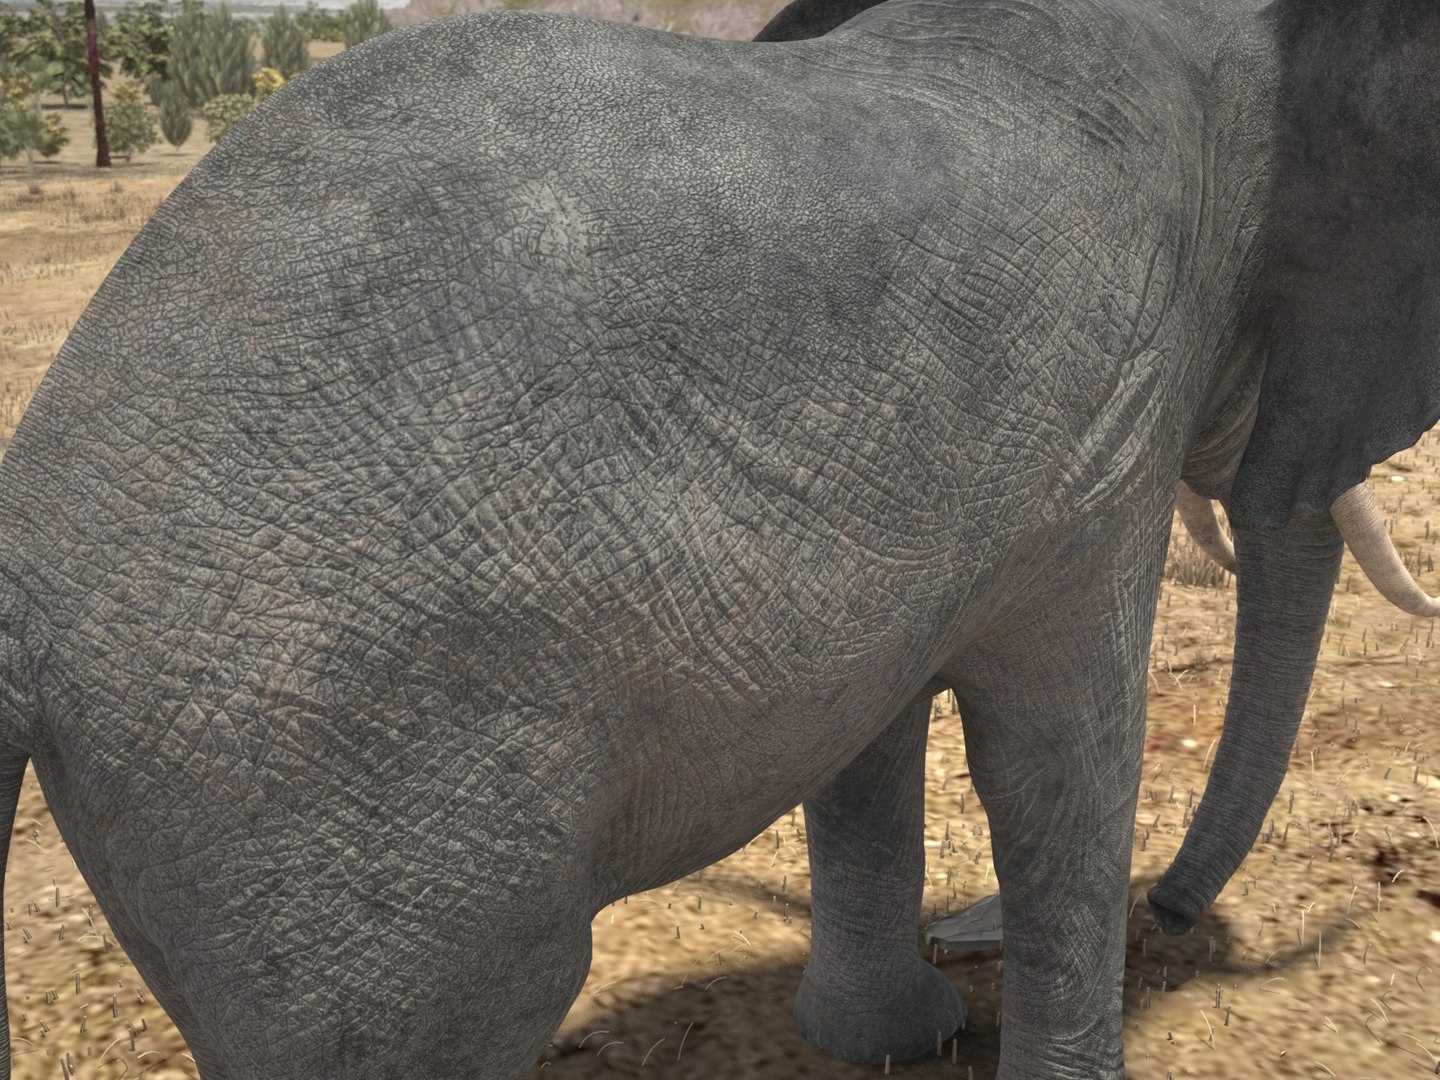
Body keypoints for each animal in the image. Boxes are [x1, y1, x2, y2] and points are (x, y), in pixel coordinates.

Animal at [0, 0, 1438, 1075]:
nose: (1180, 913)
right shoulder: (1099, 425)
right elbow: (1054, 759)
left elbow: (870, 737)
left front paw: (887, 1044)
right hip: (335, 787)